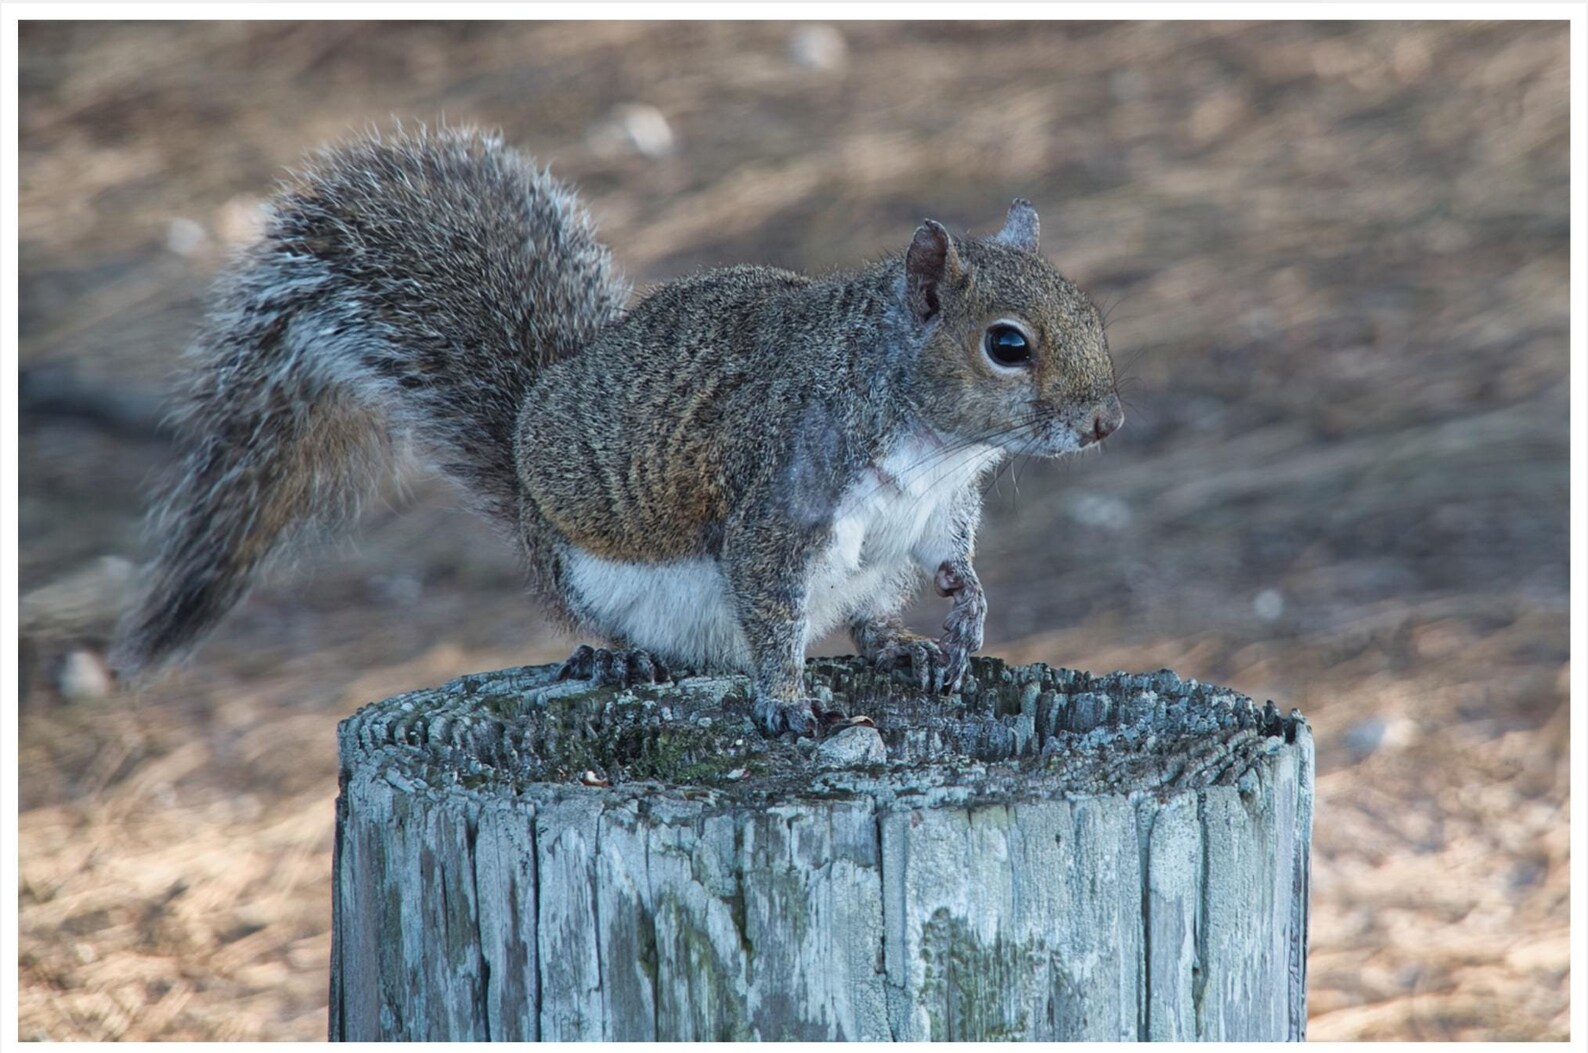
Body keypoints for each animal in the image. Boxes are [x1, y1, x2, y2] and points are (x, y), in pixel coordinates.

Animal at [111, 125, 1123, 737]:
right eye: (1007, 345)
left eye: (1091, 310)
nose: (1108, 420)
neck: (935, 448)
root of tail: (525, 448)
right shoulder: (775, 507)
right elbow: (771, 612)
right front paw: (787, 701)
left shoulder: (935, 515)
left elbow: (954, 562)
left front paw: (965, 616)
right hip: (579, 569)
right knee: (605, 620)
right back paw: (620, 655)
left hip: (868, 578)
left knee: (864, 616)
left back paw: (899, 645)